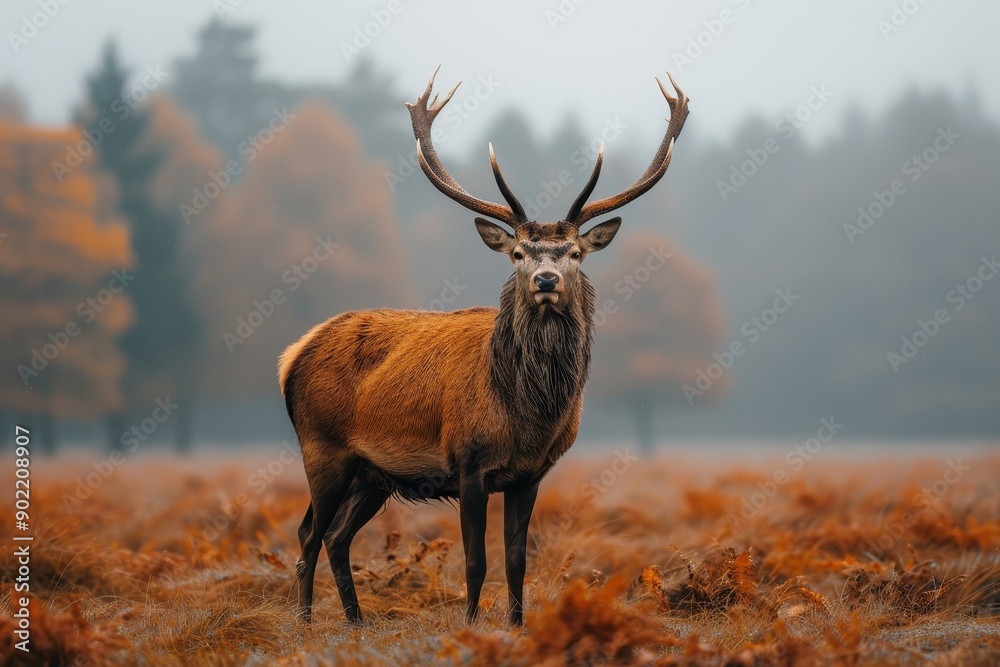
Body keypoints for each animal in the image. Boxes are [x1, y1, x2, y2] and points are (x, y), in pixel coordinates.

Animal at [278, 67, 689, 626]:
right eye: (517, 252)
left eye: (574, 252)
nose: (544, 279)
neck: (527, 416)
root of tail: (292, 356)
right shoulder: (467, 464)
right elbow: (476, 561)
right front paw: (471, 626)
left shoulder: (530, 475)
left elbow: (516, 560)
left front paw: (516, 626)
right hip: (322, 448)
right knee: (307, 534)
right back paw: (304, 621)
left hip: (372, 474)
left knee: (337, 537)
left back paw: (356, 621)